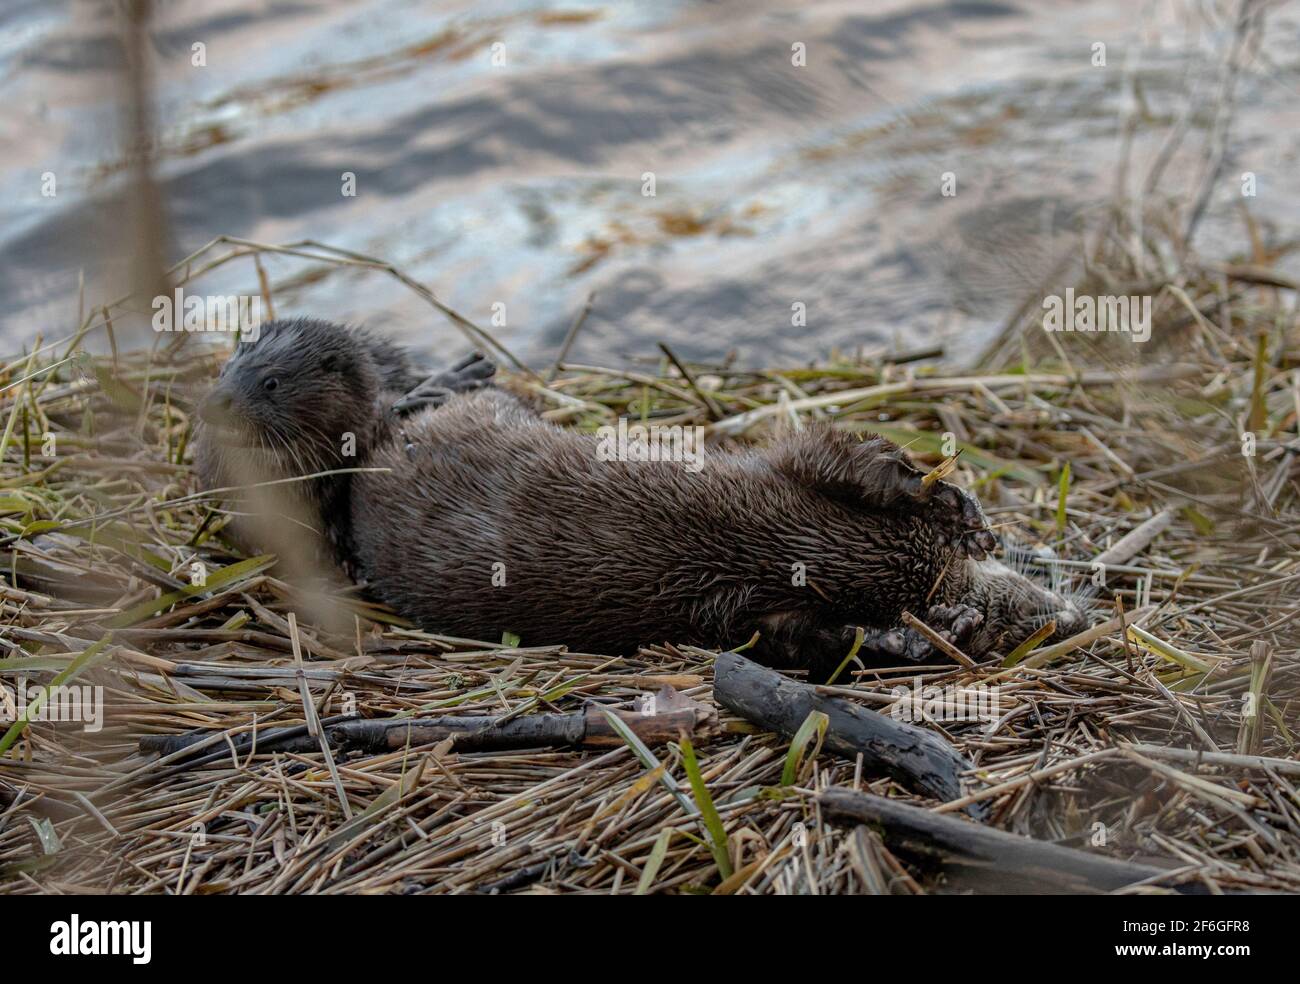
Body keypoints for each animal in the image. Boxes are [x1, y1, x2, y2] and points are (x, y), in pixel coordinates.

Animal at [194, 319, 1085, 677]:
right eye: (1020, 619)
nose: (1072, 617)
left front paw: (954, 518)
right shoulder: (756, 564)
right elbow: (812, 625)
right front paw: (942, 577)